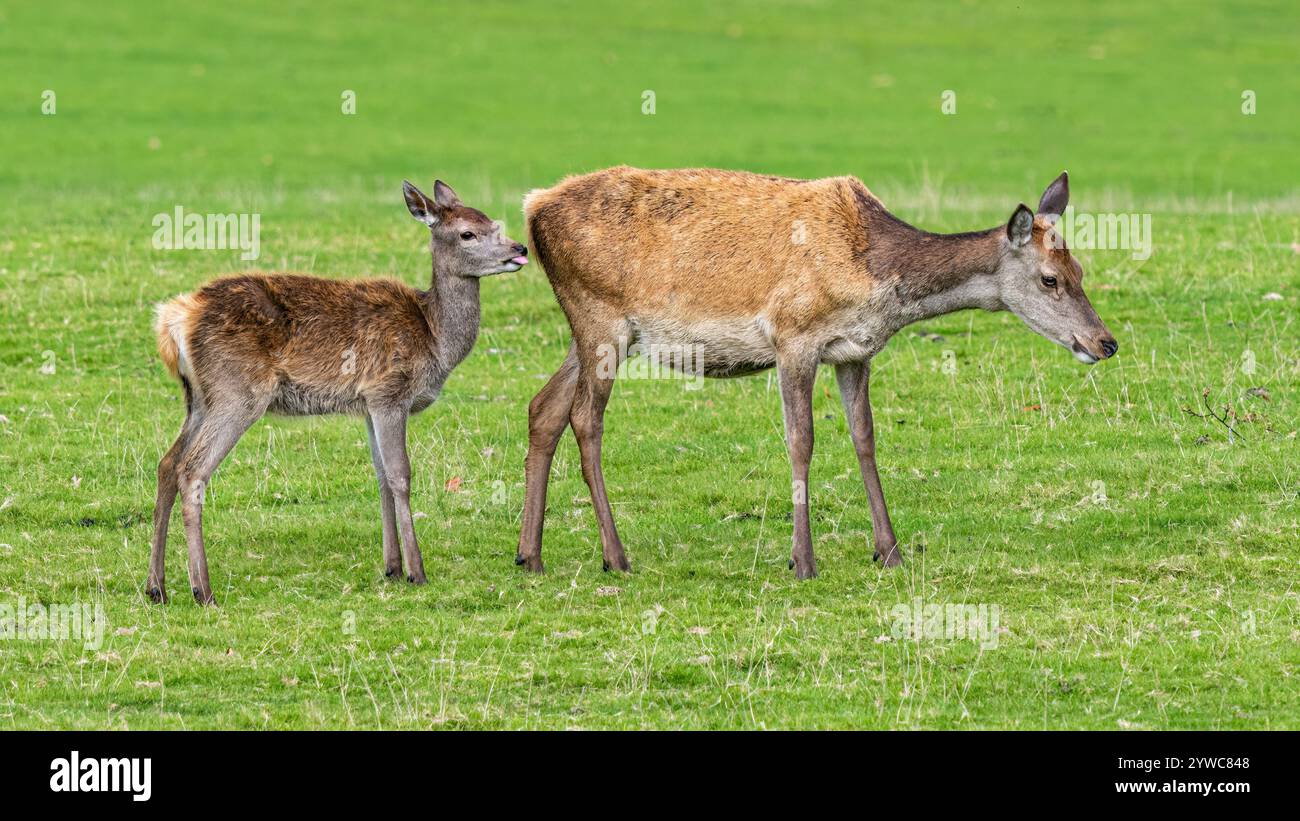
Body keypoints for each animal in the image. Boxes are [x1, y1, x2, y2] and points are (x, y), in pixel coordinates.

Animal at [147, 180, 528, 604]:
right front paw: (417, 570)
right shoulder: (389, 391)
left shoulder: (367, 405)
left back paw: (157, 586)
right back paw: (203, 589)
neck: (434, 337)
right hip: (237, 392)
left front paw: (392, 568)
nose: (520, 249)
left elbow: (380, 476)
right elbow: (400, 475)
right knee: (192, 469)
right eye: (467, 234)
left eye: (493, 223)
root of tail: (175, 320)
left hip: (199, 399)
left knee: (167, 464)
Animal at [516, 167, 1117, 580]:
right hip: (601, 319)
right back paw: (615, 556)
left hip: (591, 331)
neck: (874, 278)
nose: (1104, 342)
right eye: (1048, 279)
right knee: (585, 418)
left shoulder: (855, 352)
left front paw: (889, 550)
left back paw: (529, 554)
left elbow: (865, 438)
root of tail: (531, 208)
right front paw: (802, 560)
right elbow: (800, 440)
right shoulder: (794, 337)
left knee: (544, 407)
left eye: (1081, 269)